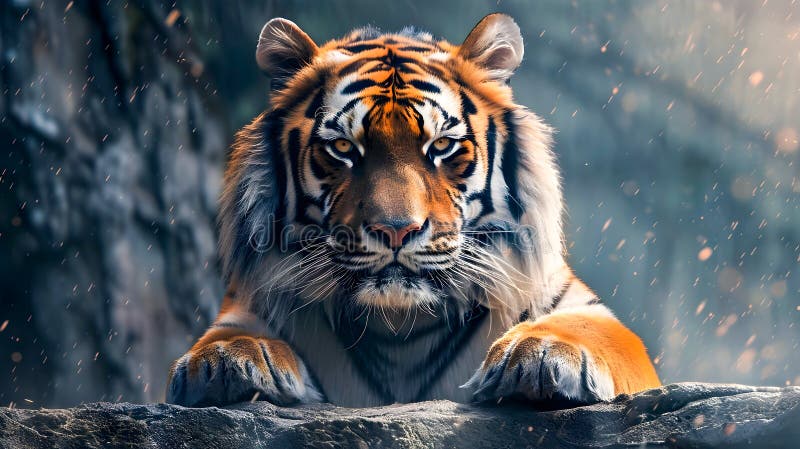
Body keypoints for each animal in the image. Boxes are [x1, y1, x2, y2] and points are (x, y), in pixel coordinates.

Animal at [166, 13, 660, 408]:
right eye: (343, 148)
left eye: (441, 146)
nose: (396, 231)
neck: (400, 327)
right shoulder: (248, 300)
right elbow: (230, 333)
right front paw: (231, 359)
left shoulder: (575, 302)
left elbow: (595, 331)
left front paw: (544, 353)